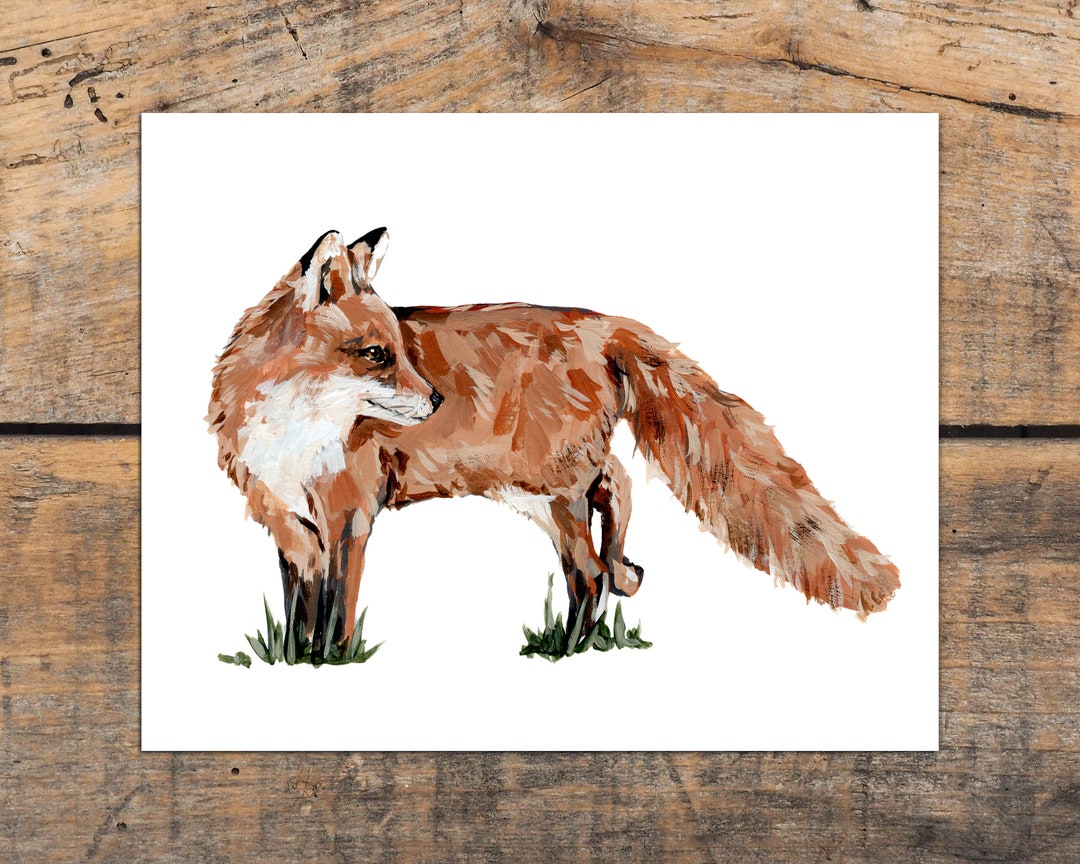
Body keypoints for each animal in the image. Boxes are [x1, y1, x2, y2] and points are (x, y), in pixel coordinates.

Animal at [208, 228, 900, 654]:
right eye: (377, 355)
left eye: (401, 350)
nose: (434, 402)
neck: (292, 433)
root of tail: (604, 321)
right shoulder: (288, 524)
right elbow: (300, 608)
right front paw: (299, 662)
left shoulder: (350, 513)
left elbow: (337, 611)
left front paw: (334, 662)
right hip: (542, 488)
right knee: (617, 492)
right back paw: (622, 577)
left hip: (549, 490)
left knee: (587, 571)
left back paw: (569, 650)